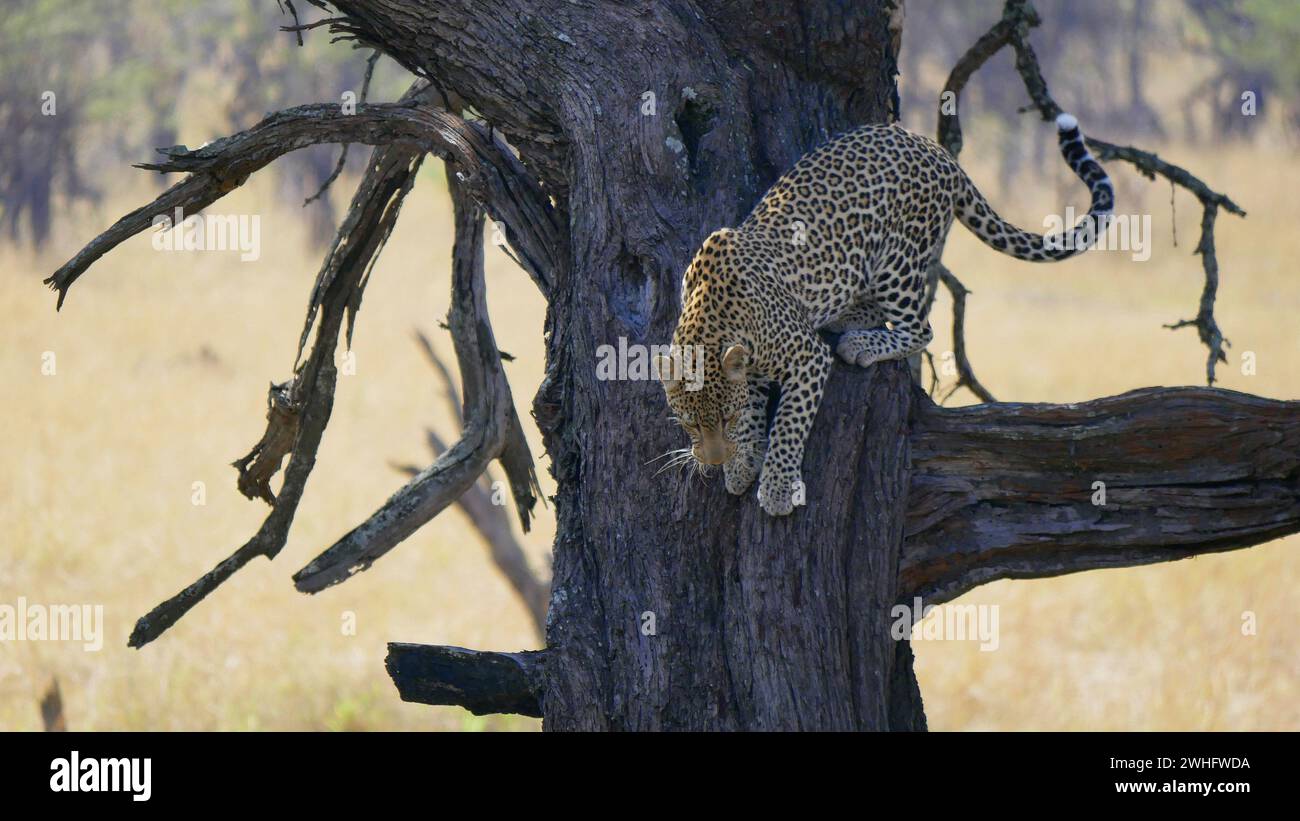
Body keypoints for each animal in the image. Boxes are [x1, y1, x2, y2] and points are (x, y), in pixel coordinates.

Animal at [656, 113, 1113, 517]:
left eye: (724, 417)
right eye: (691, 424)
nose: (714, 460)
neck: (710, 315)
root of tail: (936, 150)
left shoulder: (807, 357)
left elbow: (788, 422)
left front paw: (778, 486)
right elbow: (754, 406)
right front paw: (741, 463)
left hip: (898, 259)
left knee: (920, 328)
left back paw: (859, 343)